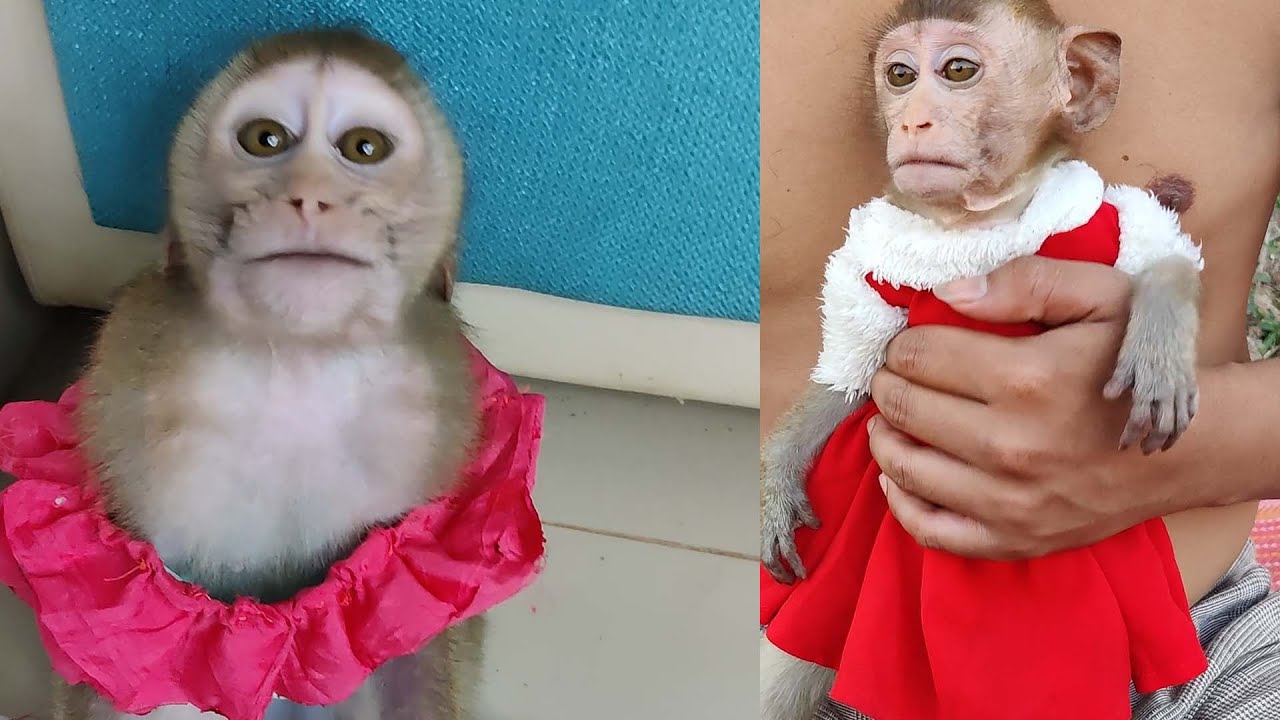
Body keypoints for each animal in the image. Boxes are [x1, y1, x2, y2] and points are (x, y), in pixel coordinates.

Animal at [47, 29, 489, 720]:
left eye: (364, 147)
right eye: (266, 139)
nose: (309, 197)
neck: (298, 365)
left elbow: (412, 636)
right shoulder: (128, 379)